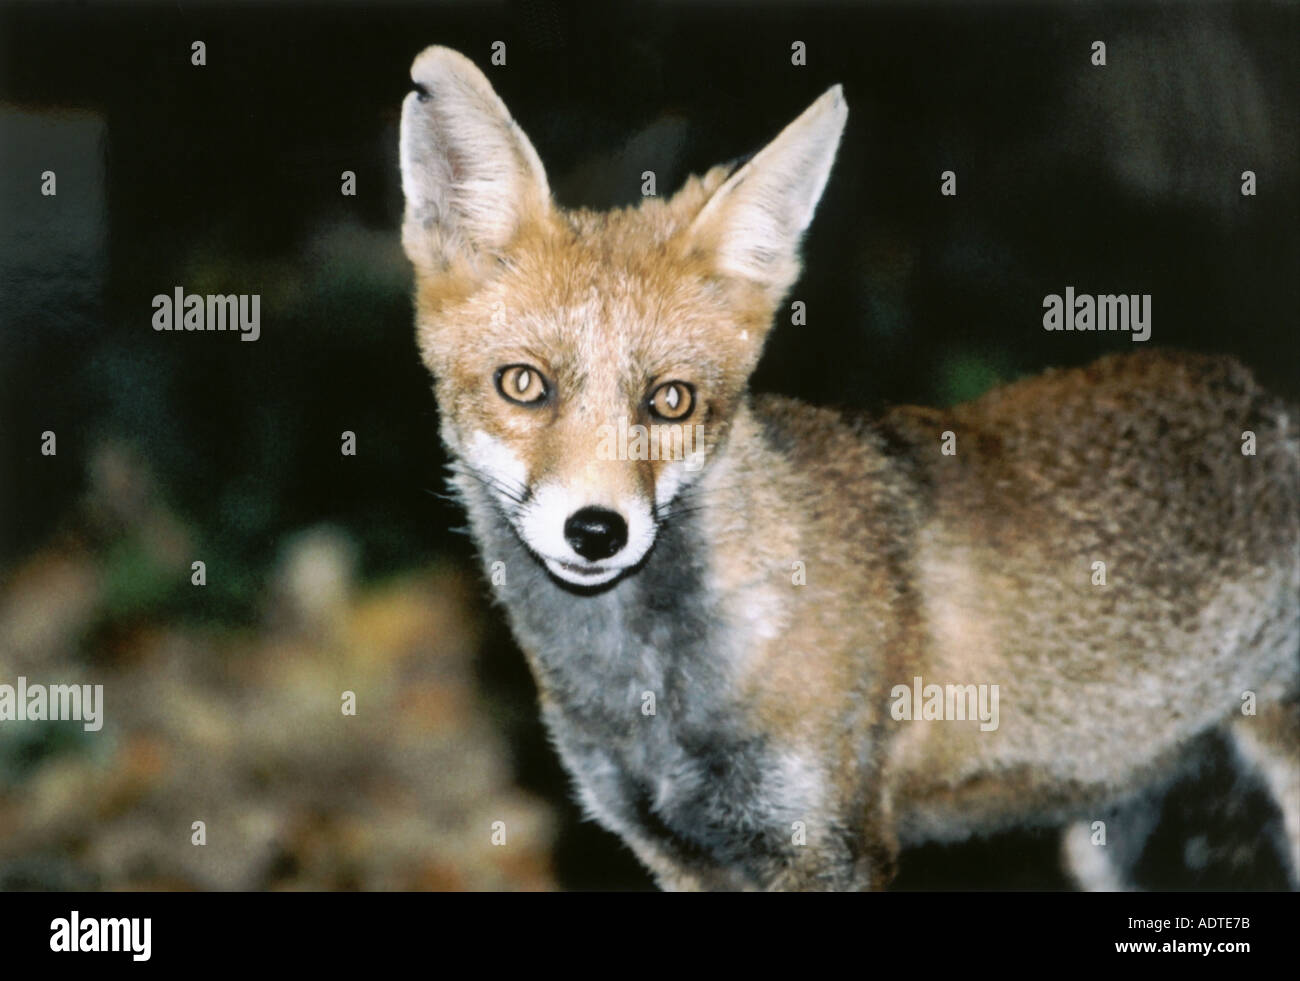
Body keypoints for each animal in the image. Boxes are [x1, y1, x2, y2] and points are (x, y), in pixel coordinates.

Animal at [397, 46, 1300, 891]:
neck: (651, 694)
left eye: (671, 401)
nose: (596, 532)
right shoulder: (680, 853)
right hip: (1124, 839)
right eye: (524, 384)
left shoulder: (831, 842)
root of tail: (1267, 395)